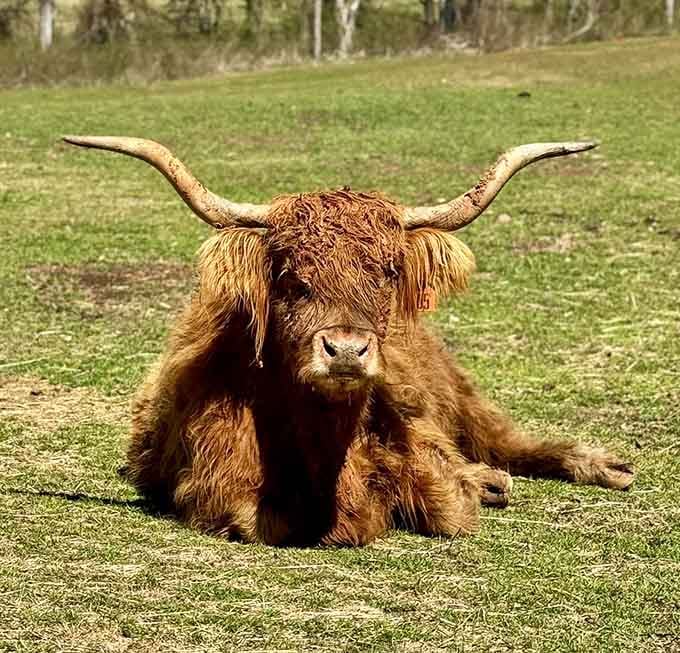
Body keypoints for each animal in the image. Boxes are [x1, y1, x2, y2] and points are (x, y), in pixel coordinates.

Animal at [64, 135, 634, 547]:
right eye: (289, 277)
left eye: (388, 272)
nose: (345, 351)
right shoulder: (210, 481)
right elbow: (259, 519)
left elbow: (448, 505)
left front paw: (476, 485)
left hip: (463, 398)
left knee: (509, 443)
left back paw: (603, 467)